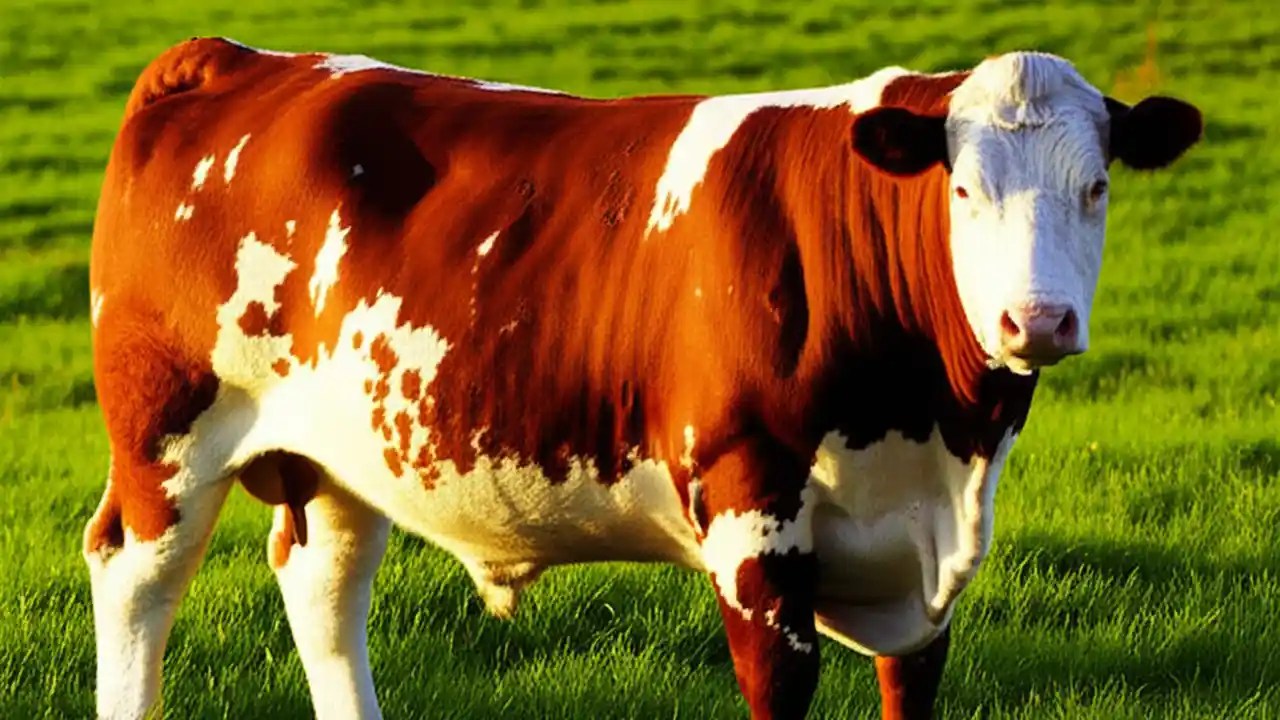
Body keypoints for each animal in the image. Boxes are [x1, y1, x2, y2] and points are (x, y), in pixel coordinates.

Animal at [83, 36, 1201, 720]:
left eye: (1096, 188)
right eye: (961, 190)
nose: (1037, 321)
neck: (936, 438)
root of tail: (238, 59)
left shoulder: (924, 575)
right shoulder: (755, 528)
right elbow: (776, 686)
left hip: (336, 457)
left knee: (322, 591)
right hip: (165, 433)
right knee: (136, 580)